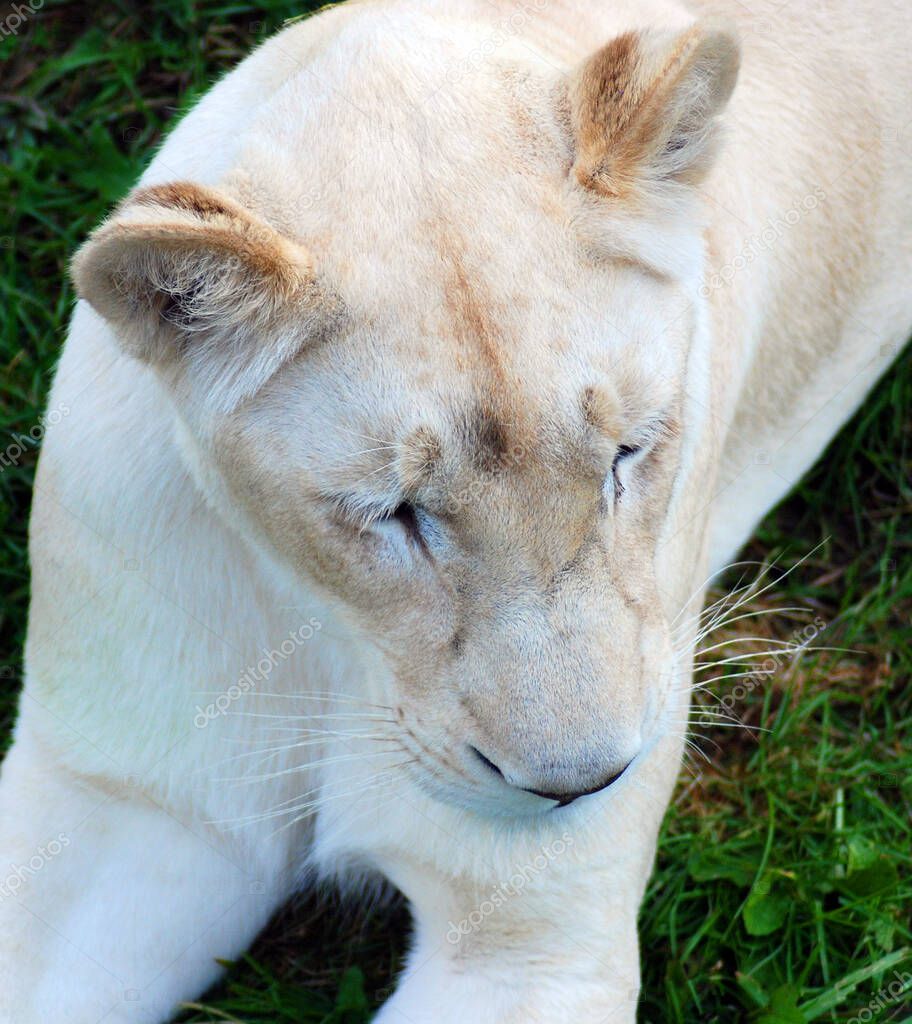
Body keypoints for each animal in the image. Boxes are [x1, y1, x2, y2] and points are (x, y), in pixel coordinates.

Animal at [1, 1, 909, 1021]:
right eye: (393, 512)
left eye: (627, 454)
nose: (583, 784)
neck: (340, 643)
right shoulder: (127, 805)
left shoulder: (532, 949)